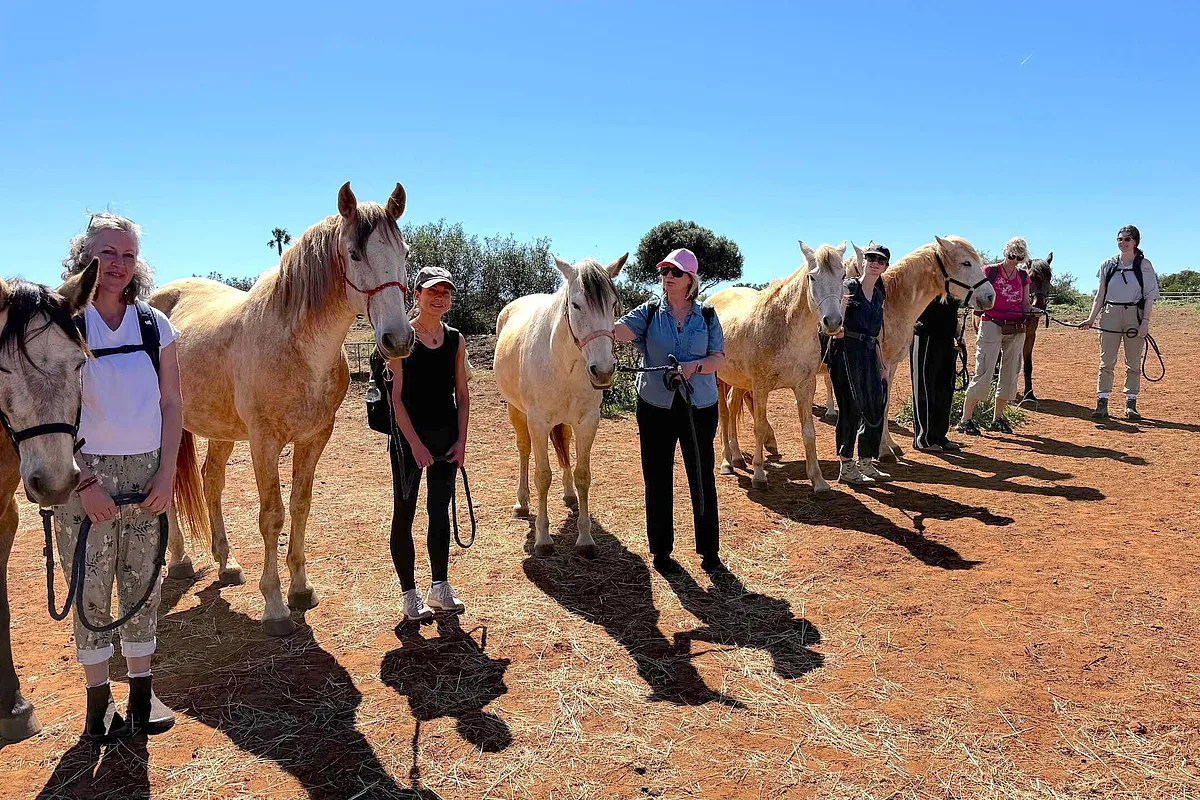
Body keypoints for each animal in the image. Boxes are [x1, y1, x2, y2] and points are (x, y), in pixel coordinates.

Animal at [151, 182, 415, 636]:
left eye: (405, 253)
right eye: (355, 253)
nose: (397, 340)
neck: (297, 346)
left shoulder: (314, 438)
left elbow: (300, 506)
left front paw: (301, 590)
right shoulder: (265, 442)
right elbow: (271, 516)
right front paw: (274, 606)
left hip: (222, 431)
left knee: (211, 482)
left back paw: (227, 564)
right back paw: (180, 561)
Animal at [493, 254, 626, 558]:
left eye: (614, 305)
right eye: (576, 304)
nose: (603, 371)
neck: (564, 363)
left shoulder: (587, 422)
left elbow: (582, 474)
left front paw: (585, 538)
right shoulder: (538, 422)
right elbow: (542, 476)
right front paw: (543, 539)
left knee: (563, 448)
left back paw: (568, 494)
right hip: (517, 412)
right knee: (524, 451)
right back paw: (522, 503)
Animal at [708, 242, 847, 491]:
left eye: (843, 275)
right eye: (812, 277)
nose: (832, 322)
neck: (785, 329)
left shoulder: (805, 386)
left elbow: (808, 433)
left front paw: (819, 480)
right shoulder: (761, 387)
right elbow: (759, 428)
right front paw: (759, 475)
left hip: (739, 380)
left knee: (732, 409)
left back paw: (737, 456)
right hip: (718, 379)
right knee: (724, 415)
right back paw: (727, 462)